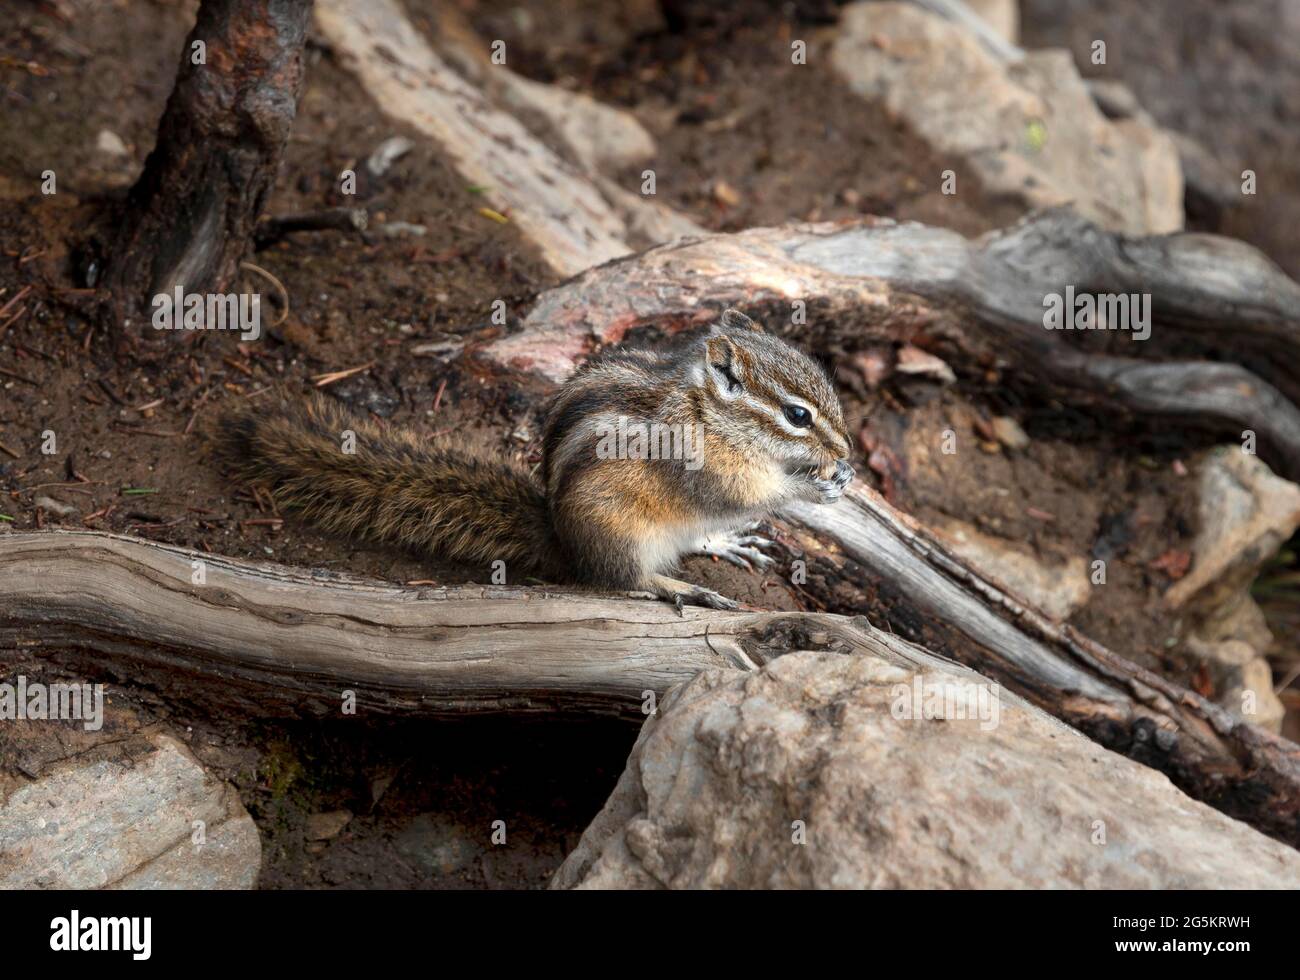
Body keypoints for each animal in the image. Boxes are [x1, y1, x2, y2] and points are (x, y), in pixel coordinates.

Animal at [216, 308, 854, 611]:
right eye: (798, 415)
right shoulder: (701, 465)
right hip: (618, 530)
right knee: (621, 581)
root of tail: (560, 537)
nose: (847, 451)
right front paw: (810, 486)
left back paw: (719, 544)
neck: (707, 412)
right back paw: (679, 588)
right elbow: (743, 493)